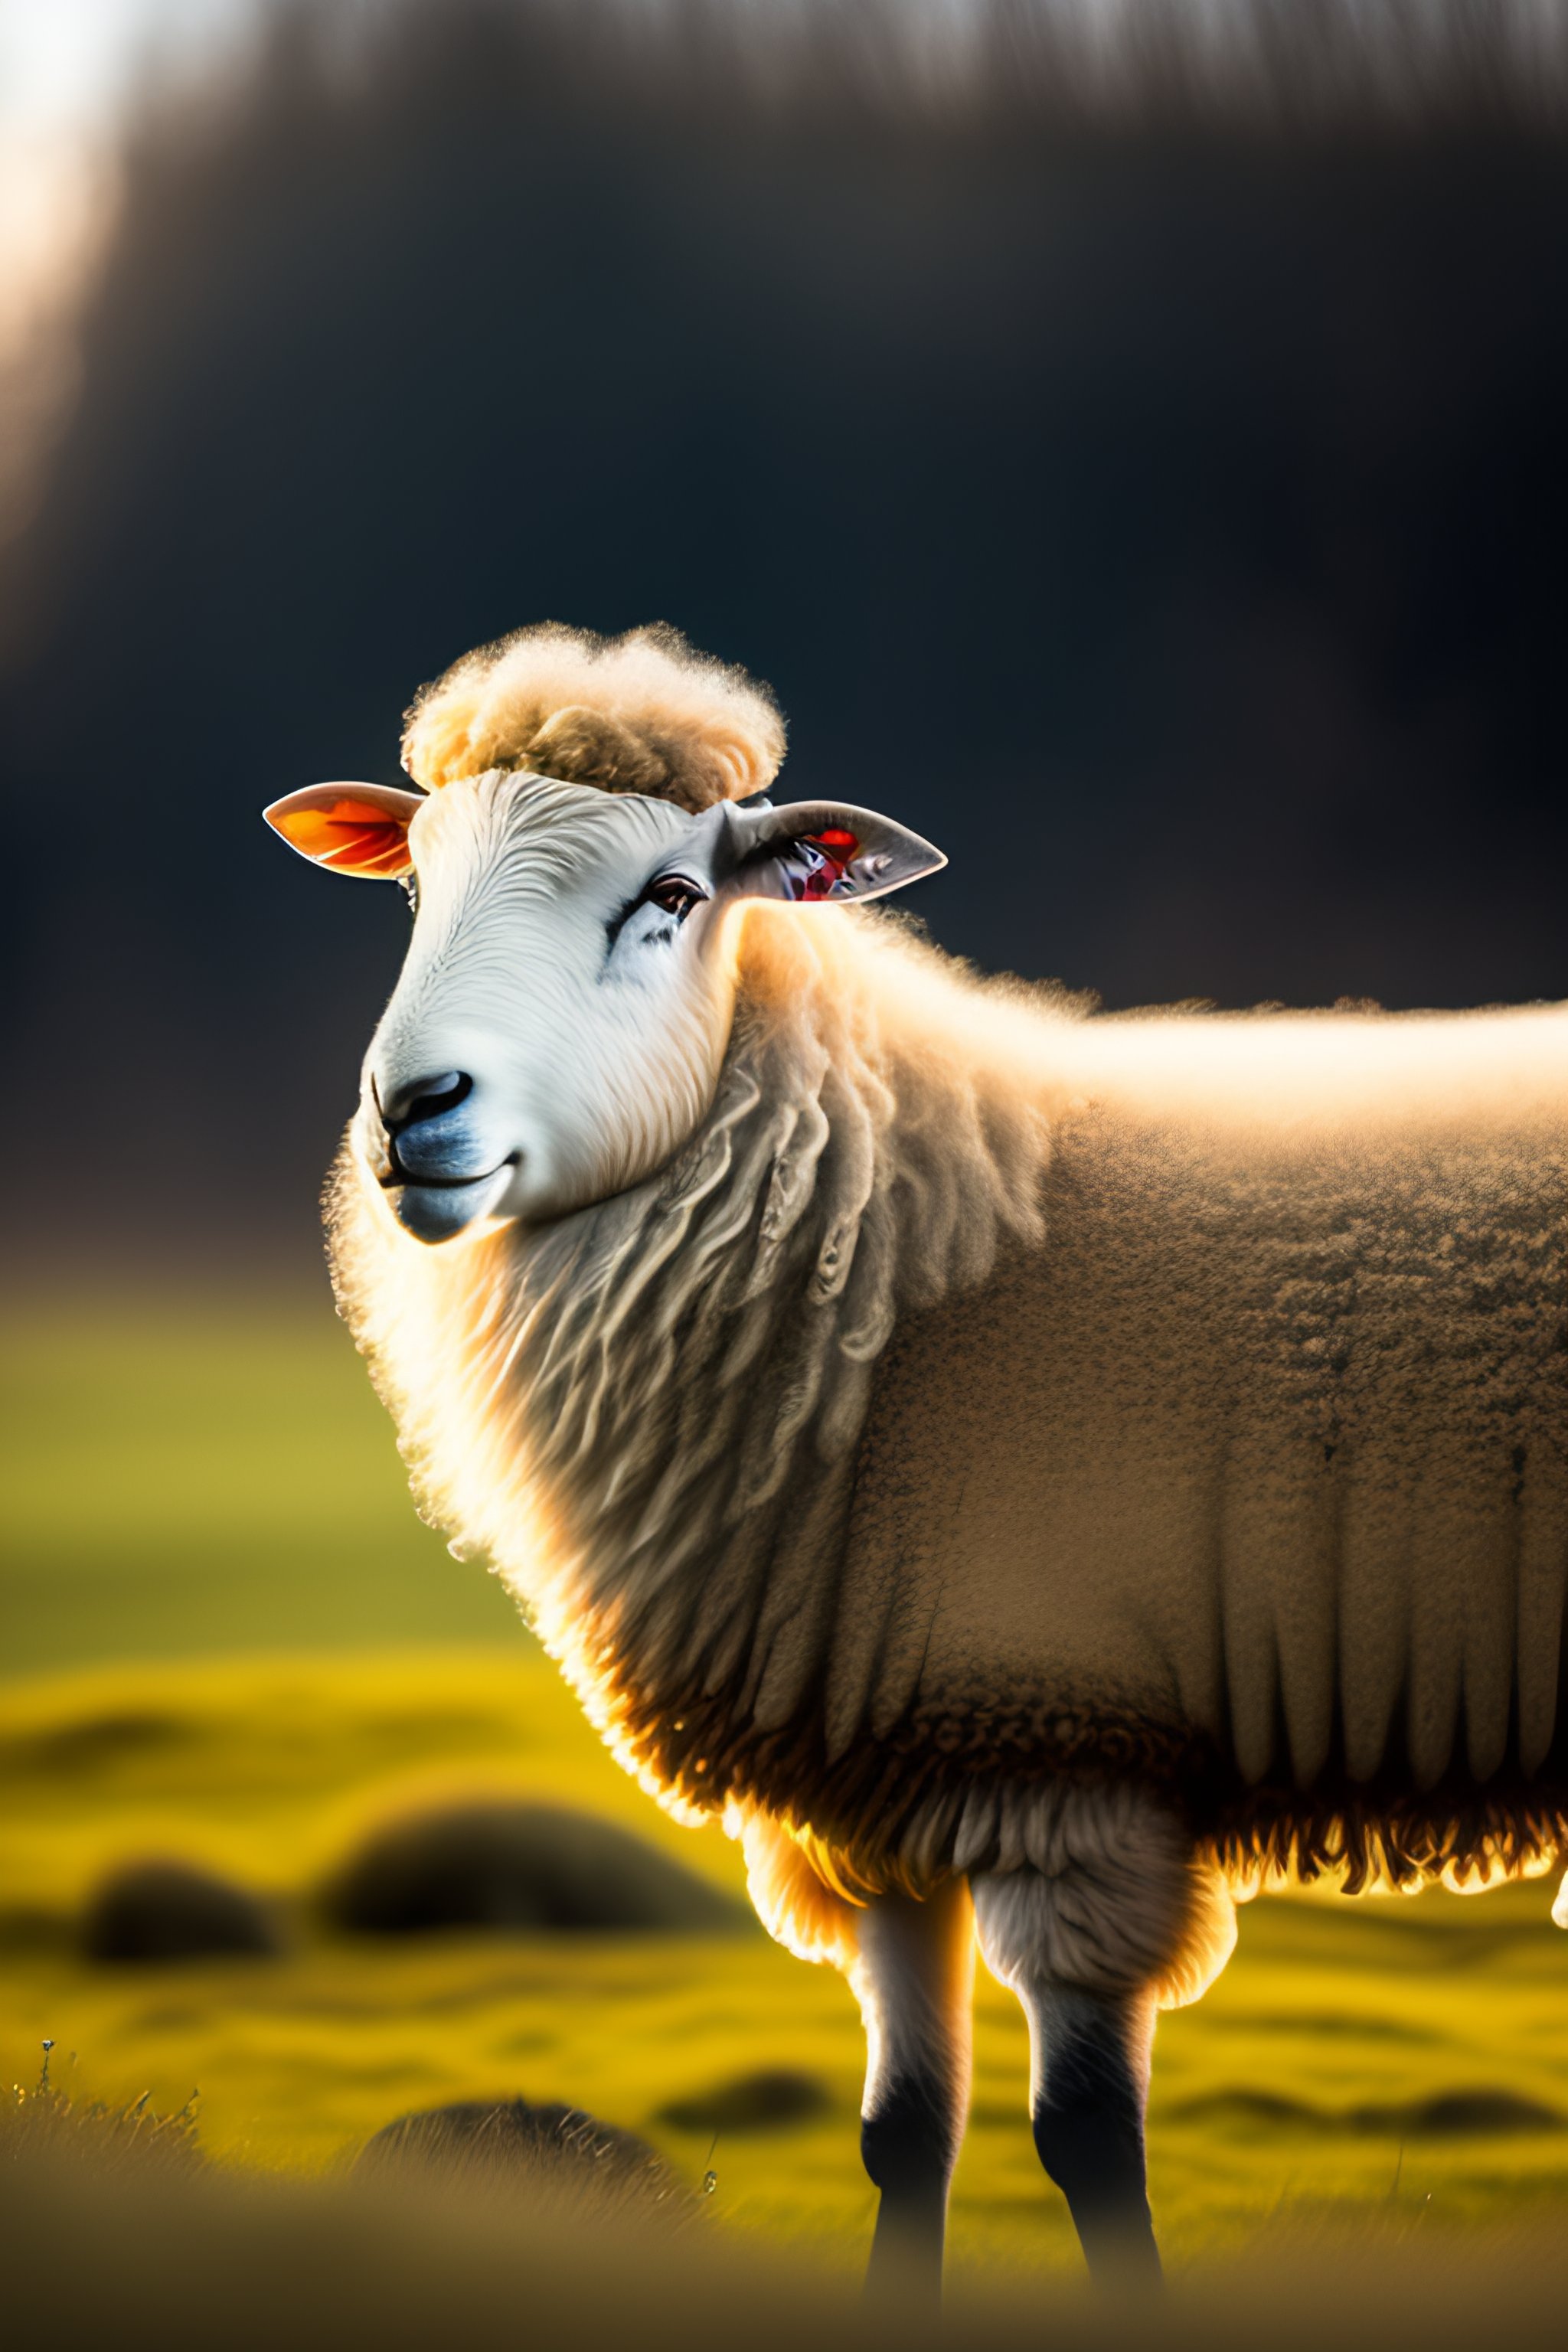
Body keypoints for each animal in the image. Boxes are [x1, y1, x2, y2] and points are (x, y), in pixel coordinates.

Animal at [265, 620, 1568, 2296]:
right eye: (415, 888)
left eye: (670, 896)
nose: (414, 1108)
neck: (897, 1252)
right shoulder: (879, 1794)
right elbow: (904, 2134)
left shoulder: (1061, 1764)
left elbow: (1087, 2142)